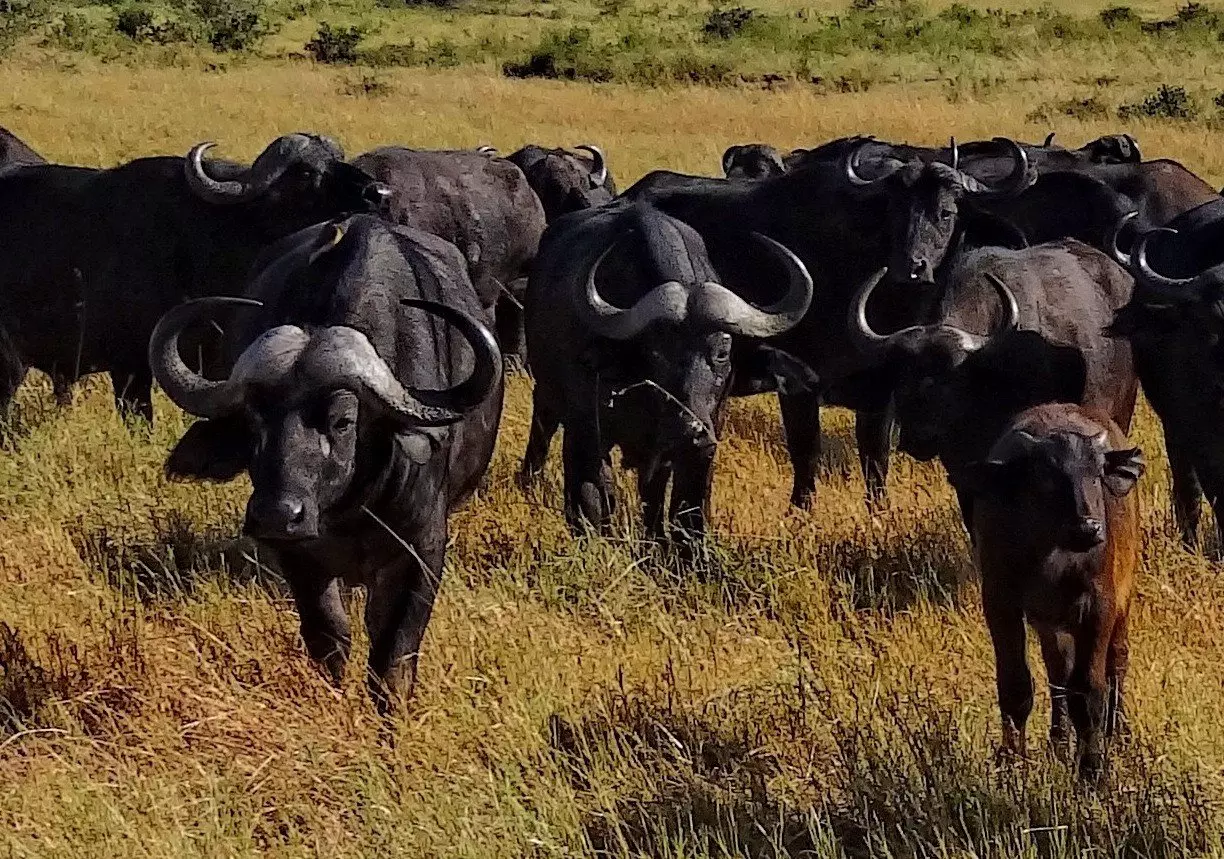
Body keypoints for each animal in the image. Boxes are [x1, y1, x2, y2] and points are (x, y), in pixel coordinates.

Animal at [149, 215, 501, 714]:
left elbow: (393, 652)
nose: (276, 514)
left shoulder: (423, 549)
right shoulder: (300, 555)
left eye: (342, 420)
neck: (350, 506)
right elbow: (329, 636)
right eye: (254, 419)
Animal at [518, 203, 812, 545]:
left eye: (721, 353)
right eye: (655, 353)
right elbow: (591, 502)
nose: (689, 429)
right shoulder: (585, 433)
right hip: (547, 396)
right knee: (543, 427)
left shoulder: (702, 447)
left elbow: (689, 512)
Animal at [959, 403, 1140, 783]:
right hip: (1050, 622)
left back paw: (1118, 733)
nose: (1088, 527)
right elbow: (1016, 686)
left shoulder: (1100, 604)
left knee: (1116, 661)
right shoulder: (1001, 602)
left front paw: (1092, 769)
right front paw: (1012, 762)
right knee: (1058, 674)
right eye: (1045, 478)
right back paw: (1058, 741)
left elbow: (1088, 690)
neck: (1052, 552)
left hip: (1123, 597)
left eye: (1096, 474)